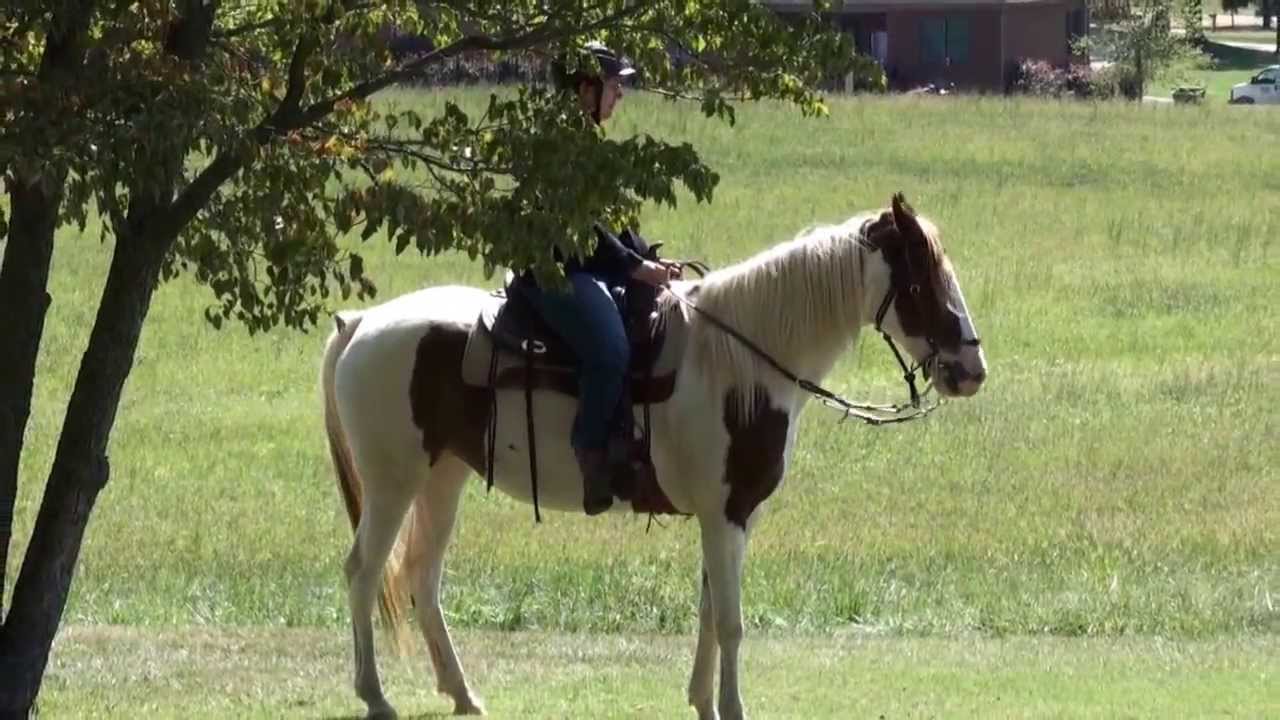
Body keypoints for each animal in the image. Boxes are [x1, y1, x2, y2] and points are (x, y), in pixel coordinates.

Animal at [320, 194, 987, 719]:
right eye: (921, 285)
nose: (971, 370)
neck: (740, 361)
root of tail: (361, 323)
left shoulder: (728, 516)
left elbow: (711, 612)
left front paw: (703, 702)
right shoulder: (727, 514)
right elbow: (731, 620)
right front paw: (732, 708)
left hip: (443, 476)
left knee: (421, 574)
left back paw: (462, 693)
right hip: (391, 483)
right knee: (363, 571)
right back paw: (375, 695)